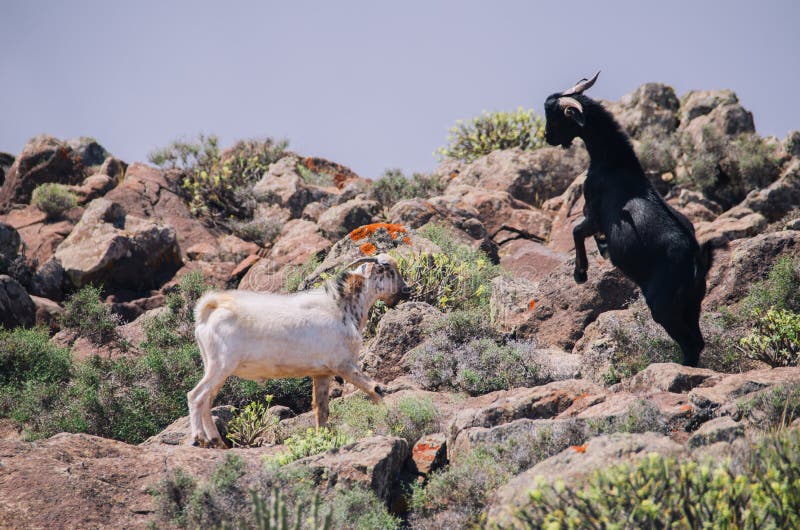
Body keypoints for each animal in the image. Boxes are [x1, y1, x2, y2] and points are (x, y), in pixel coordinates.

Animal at [188, 253, 410, 448]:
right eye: (389, 270)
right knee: (196, 396)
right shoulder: (343, 364)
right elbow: (374, 388)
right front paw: (391, 419)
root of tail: (210, 309)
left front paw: (323, 438)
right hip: (221, 365)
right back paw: (201, 438)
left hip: (214, 366)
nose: (406, 290)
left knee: (207, 401)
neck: (340, 307)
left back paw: (217, 442)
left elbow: (321, 408)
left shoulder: (322, 372)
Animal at [543, 72, 712, 367]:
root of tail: (696, 260)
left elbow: (577, 230)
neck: (615, 163)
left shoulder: (593, 212)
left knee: (690, 343)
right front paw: (599, 251)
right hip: (692, 304)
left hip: (663, 306)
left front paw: (581, 273)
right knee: (697, 341)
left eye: (554, 118)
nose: (547, 136)